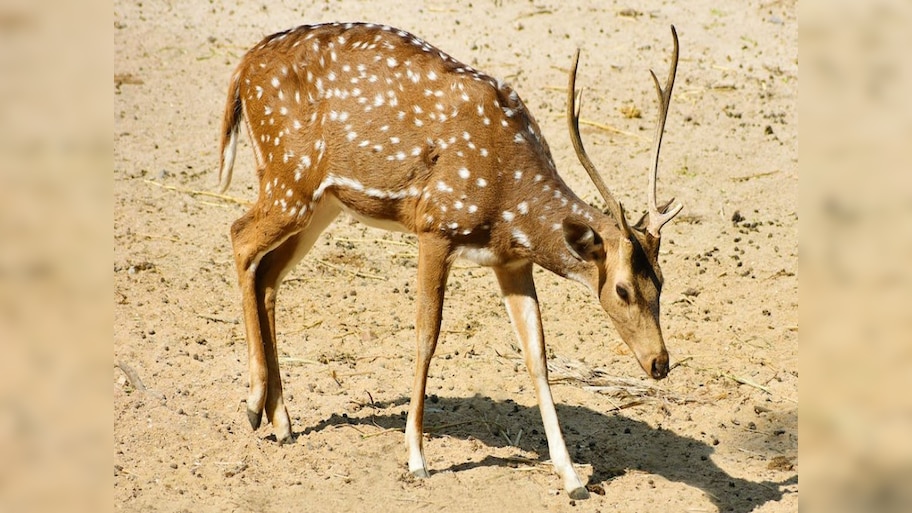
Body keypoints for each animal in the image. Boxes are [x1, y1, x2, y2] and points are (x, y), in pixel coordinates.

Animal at [216, 22, 681, 500]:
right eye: (622, 289)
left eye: (662, 282)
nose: (661, 363)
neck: (509, 200)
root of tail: (243, 66)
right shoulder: (435, 226)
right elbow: (427, 335)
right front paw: (417, 458)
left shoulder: (511, 262)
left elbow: (537, 353)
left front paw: (572, 478)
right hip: (288, 178)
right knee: (239, 237)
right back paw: (253, 404)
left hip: (318, 202)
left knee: (268, 274)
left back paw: (282, 422)